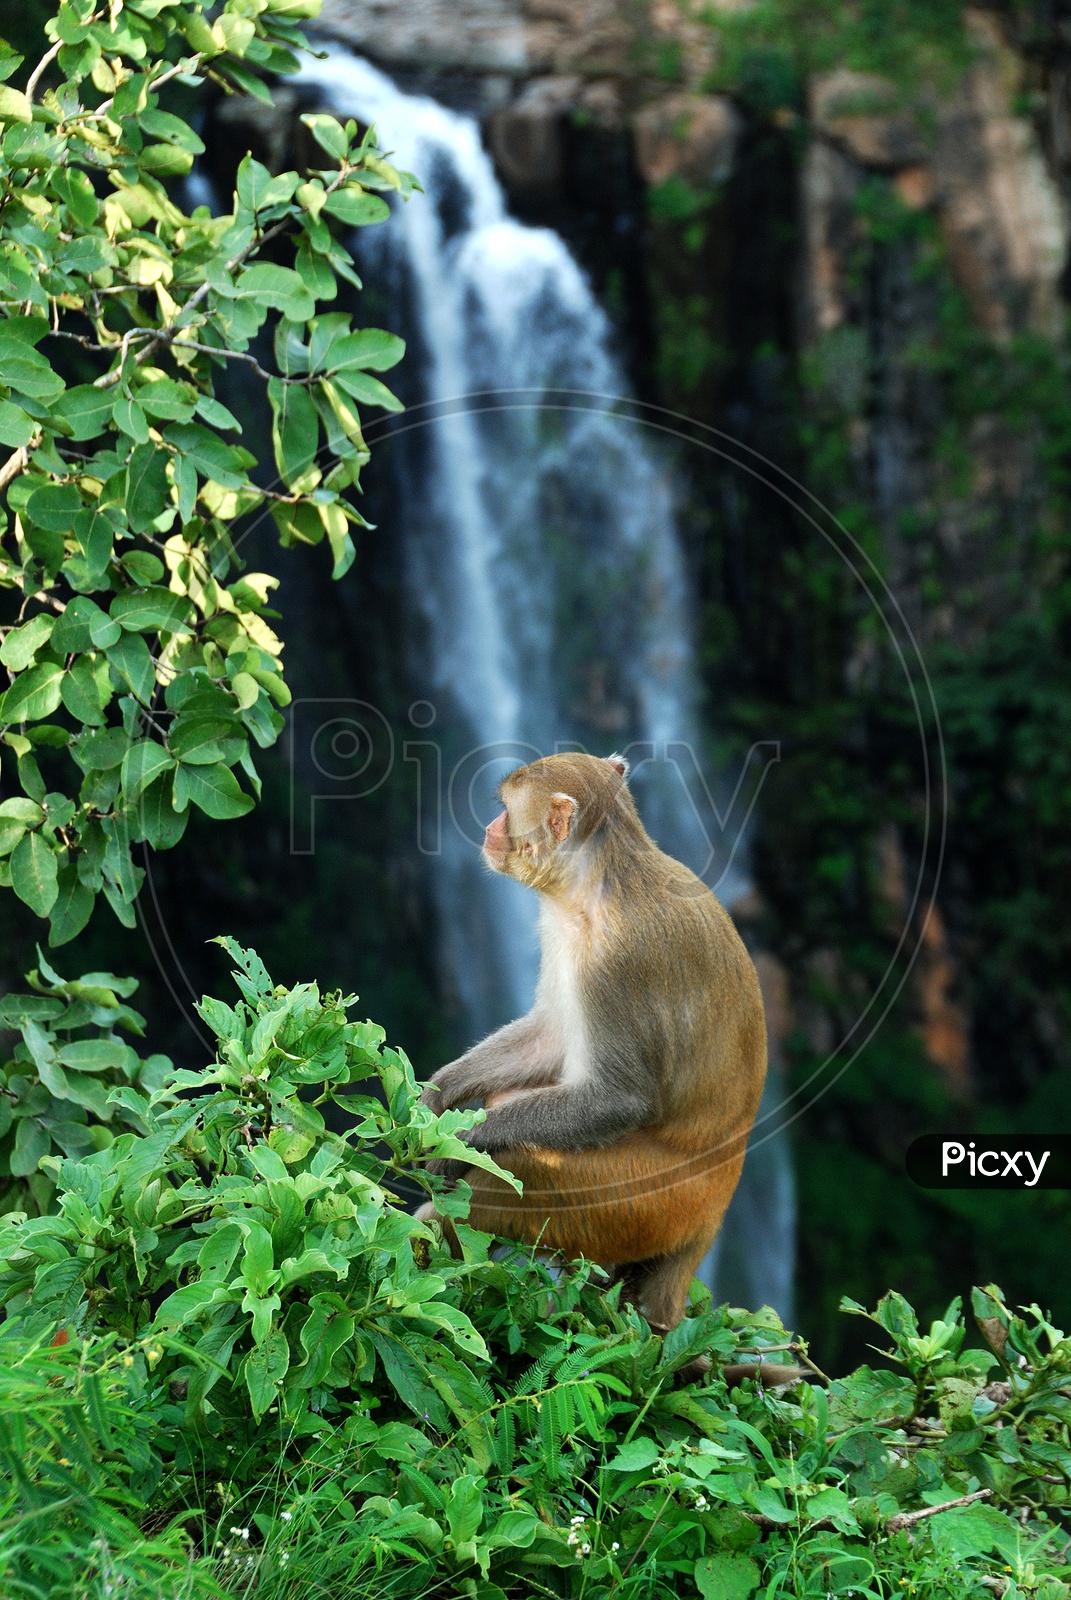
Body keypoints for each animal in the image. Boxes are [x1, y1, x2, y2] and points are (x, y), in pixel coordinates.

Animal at [417, 751, 767, 1337]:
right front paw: (437, 1096)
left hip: (640, 1201)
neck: (600, 883)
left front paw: (464, 1142)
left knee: (529, 1167)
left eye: (505, 809)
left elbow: (617, 1098)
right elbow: (550, 1039)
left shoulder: (613, 963)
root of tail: (711, 1215)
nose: (490, 830)